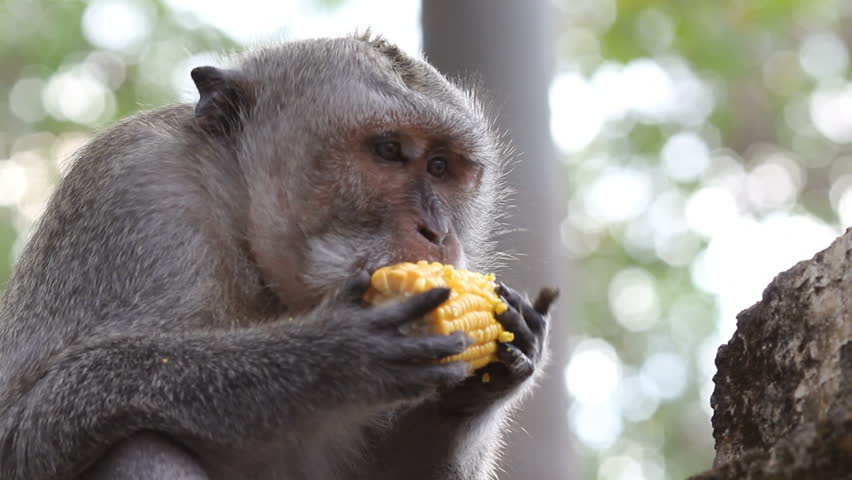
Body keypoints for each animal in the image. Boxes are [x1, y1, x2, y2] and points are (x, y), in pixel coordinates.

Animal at [0, 33, 559, 480]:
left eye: (440, 166)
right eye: (388, 150)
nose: (437, 232)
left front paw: (497, 370)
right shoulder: (133, 190)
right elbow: (17, 428)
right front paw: (327, 355)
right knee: (138, 444)